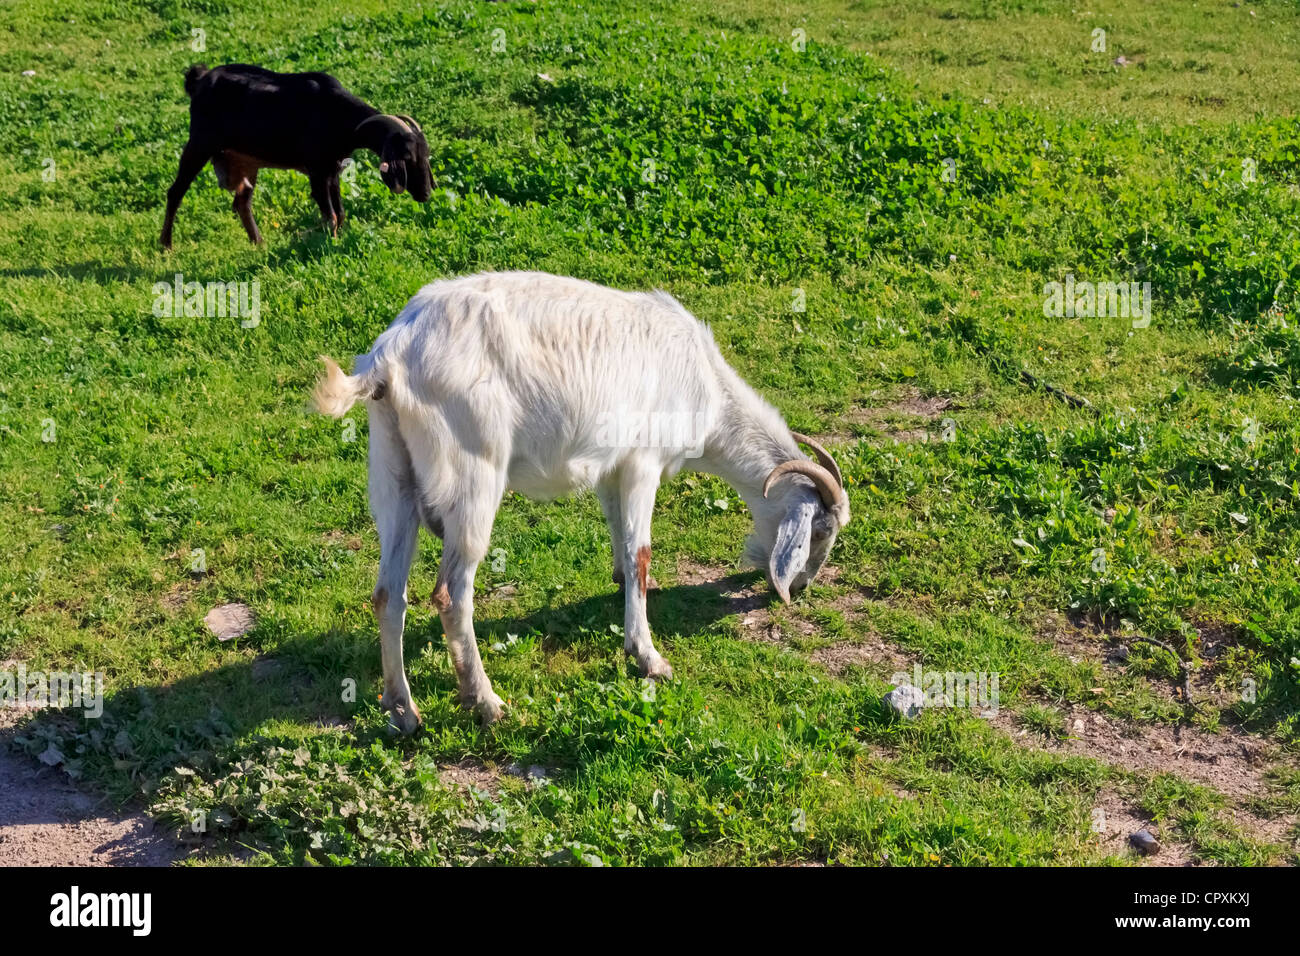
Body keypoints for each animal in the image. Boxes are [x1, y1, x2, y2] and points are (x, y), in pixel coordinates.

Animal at [160, 64, 433, 248]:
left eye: (426, 155)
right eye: (407, 158)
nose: (427, 193)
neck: (337, 113)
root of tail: (199, 79)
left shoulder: (332, 171)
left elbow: (341, 213)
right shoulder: (317, 172)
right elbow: (331, 216)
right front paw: (331, 244)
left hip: (246, 162)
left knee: (241, 202)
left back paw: (258, 243)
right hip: (199, 144)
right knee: (175, 192)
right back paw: (166, 246)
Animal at [313, 271, 850, 733]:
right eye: (822, 530)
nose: (800, 585)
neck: (705, 386)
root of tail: (391, 356)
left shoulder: (611, 469)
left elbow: (619, 535)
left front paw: (622, 587)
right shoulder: (642, 462)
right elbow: (641, 552)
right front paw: (648, 657)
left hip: (392, 476)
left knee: (388, 594)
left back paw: (403, 711)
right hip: (472, 478)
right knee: (451, 593)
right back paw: (485, 702)